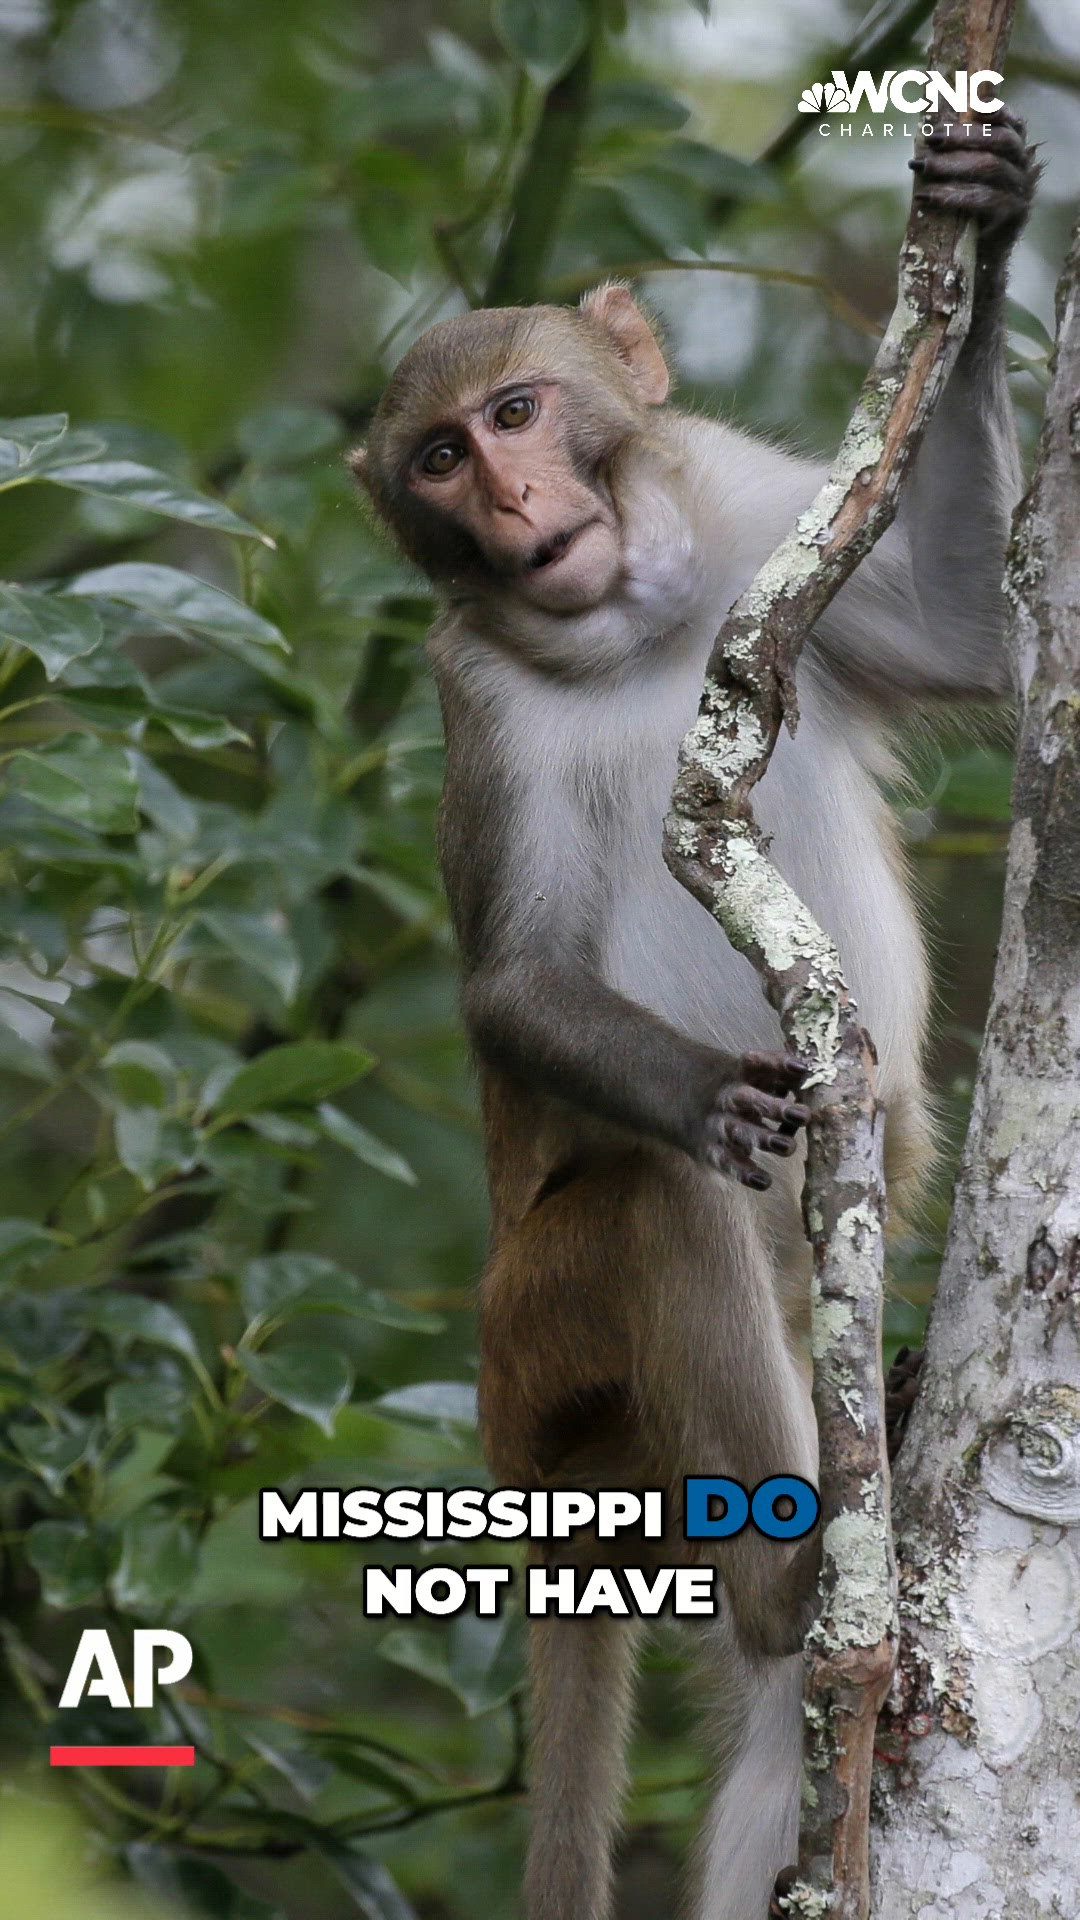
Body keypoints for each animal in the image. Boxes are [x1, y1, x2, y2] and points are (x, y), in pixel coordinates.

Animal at [353, 112, 1037, 1920]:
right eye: (438, 458)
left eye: (520, 414)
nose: (514, 500)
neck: (628, 623)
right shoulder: (475, 692)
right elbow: (517, 981)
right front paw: (713, 1098)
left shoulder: (744, 503)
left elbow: (976, 633)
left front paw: (987, 220)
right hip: (546, 1330)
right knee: (659, 1210)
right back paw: (794, 1593)